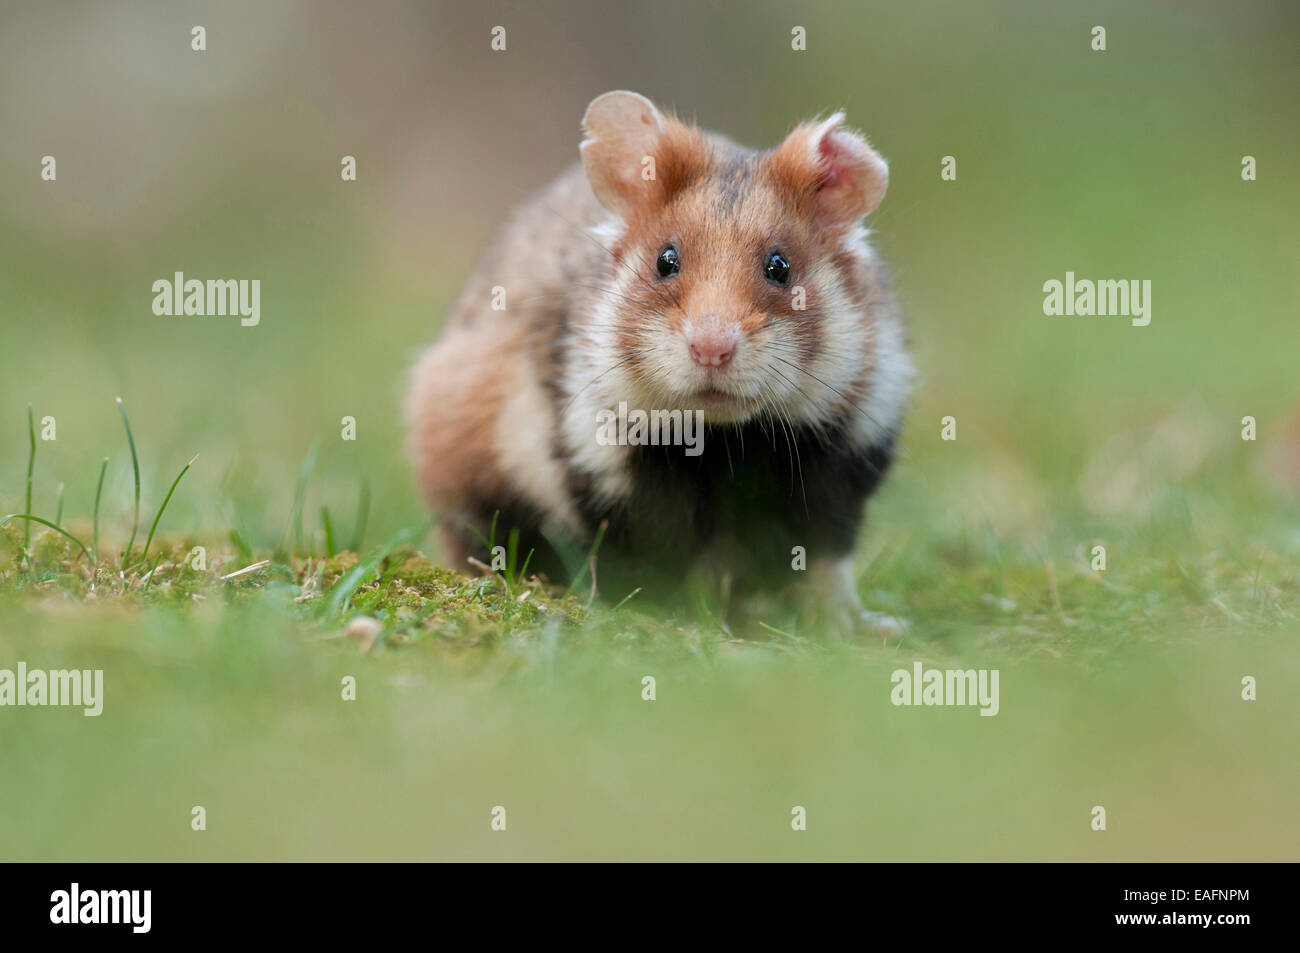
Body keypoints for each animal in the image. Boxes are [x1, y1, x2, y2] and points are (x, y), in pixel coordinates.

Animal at [406, 91, 912, 634]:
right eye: (665, 261)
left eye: (780, 267)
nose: (711, 349)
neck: (728, 439)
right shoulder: (611, 470)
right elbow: (672, 561)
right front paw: (687, 623)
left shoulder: (844, 455)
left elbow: (825, 561)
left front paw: (861, 626)